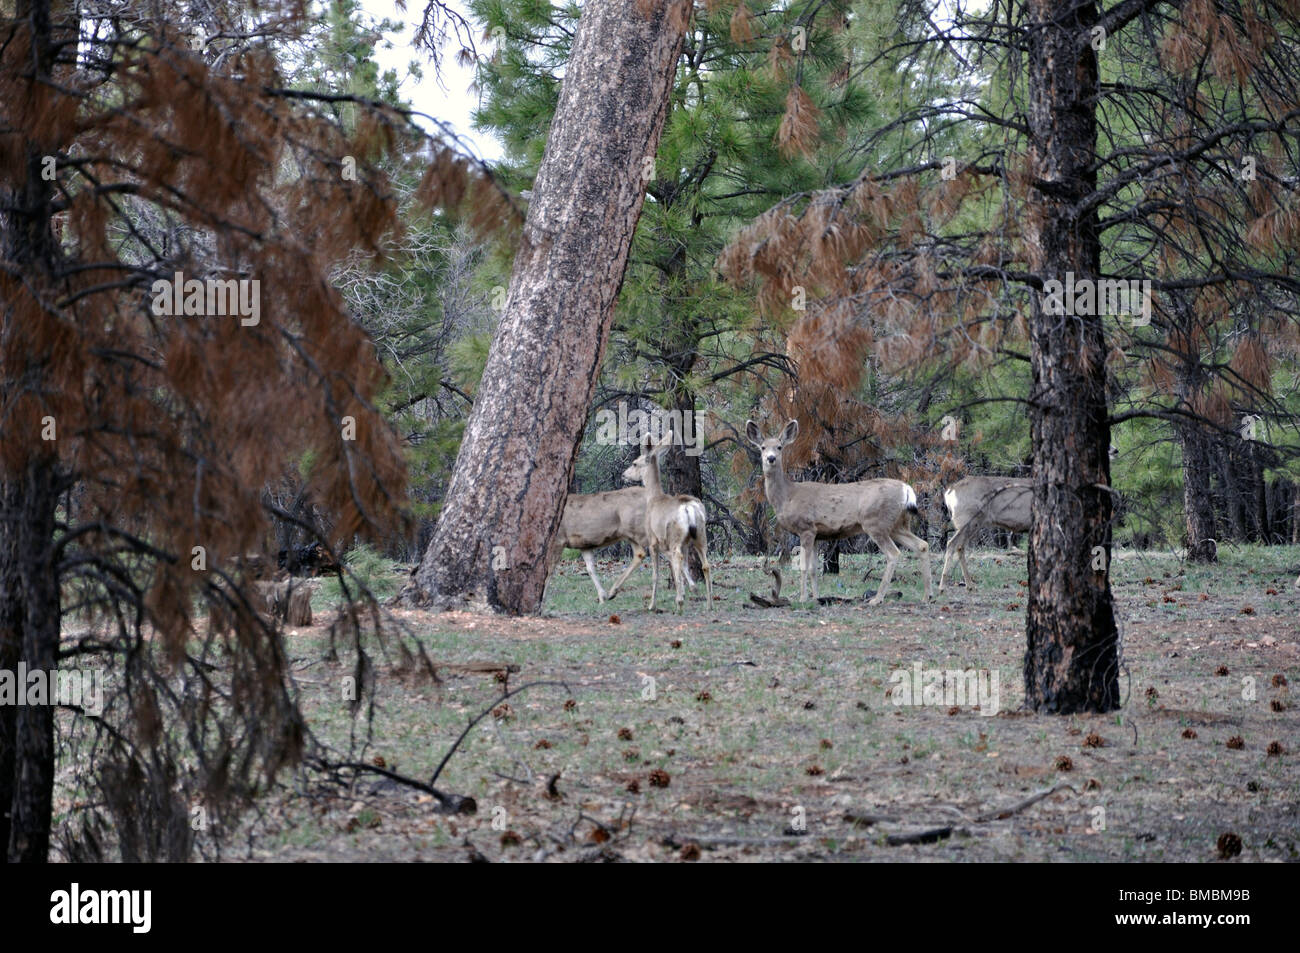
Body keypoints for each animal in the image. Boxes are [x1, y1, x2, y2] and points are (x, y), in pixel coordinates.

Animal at [621, 429, 713, 612]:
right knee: (704, 564)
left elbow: (656, 574)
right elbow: (681, 566)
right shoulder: (679, 542)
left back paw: (679, 604)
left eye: (635, 463)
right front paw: (689, 589)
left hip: (676, 536)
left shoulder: (652, 540)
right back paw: (708, 604)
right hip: (700, 535)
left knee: (678, 557)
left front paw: (652, 605)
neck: (653, 498)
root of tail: (688, 508)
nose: (624, 474)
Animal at [745, 419, 932, 605]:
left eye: (779, 447)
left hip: (875, 522)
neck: (787, 496)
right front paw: (817, 598)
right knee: (922, 545)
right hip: (897, 524)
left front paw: (803, 598)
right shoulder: (817, 534)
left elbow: (804, 567)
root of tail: (906, 488)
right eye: (762, 447)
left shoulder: (806, 528)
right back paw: (926, 596)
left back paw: (877, 599)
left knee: (893, 554)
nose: (771, 458)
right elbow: (813, 569)